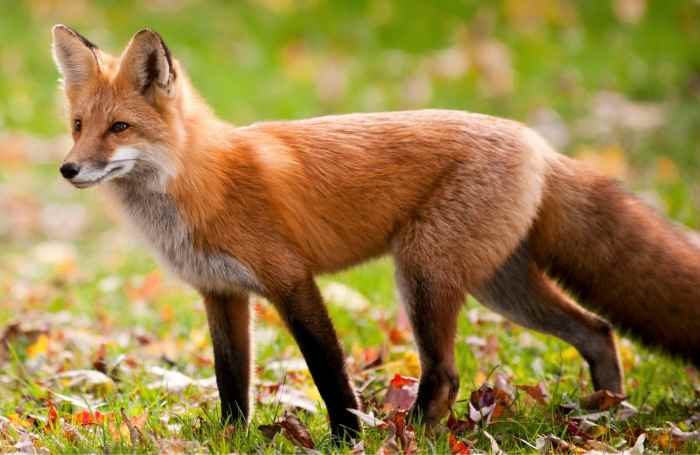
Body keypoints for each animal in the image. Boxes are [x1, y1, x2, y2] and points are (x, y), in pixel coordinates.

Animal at [52, 25, 700, 440]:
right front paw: (231, 439)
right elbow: (230, 379)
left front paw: (346, 437)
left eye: (119, 127)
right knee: (597, 329)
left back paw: (408, 434)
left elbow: (328, 369)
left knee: (446, 373)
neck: (199, 181)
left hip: (422, 274)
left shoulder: (291, 280)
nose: (68, 169)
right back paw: (605, 411)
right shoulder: (222, 293)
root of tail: (536, 141)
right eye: (79, 126)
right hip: (500, 288)